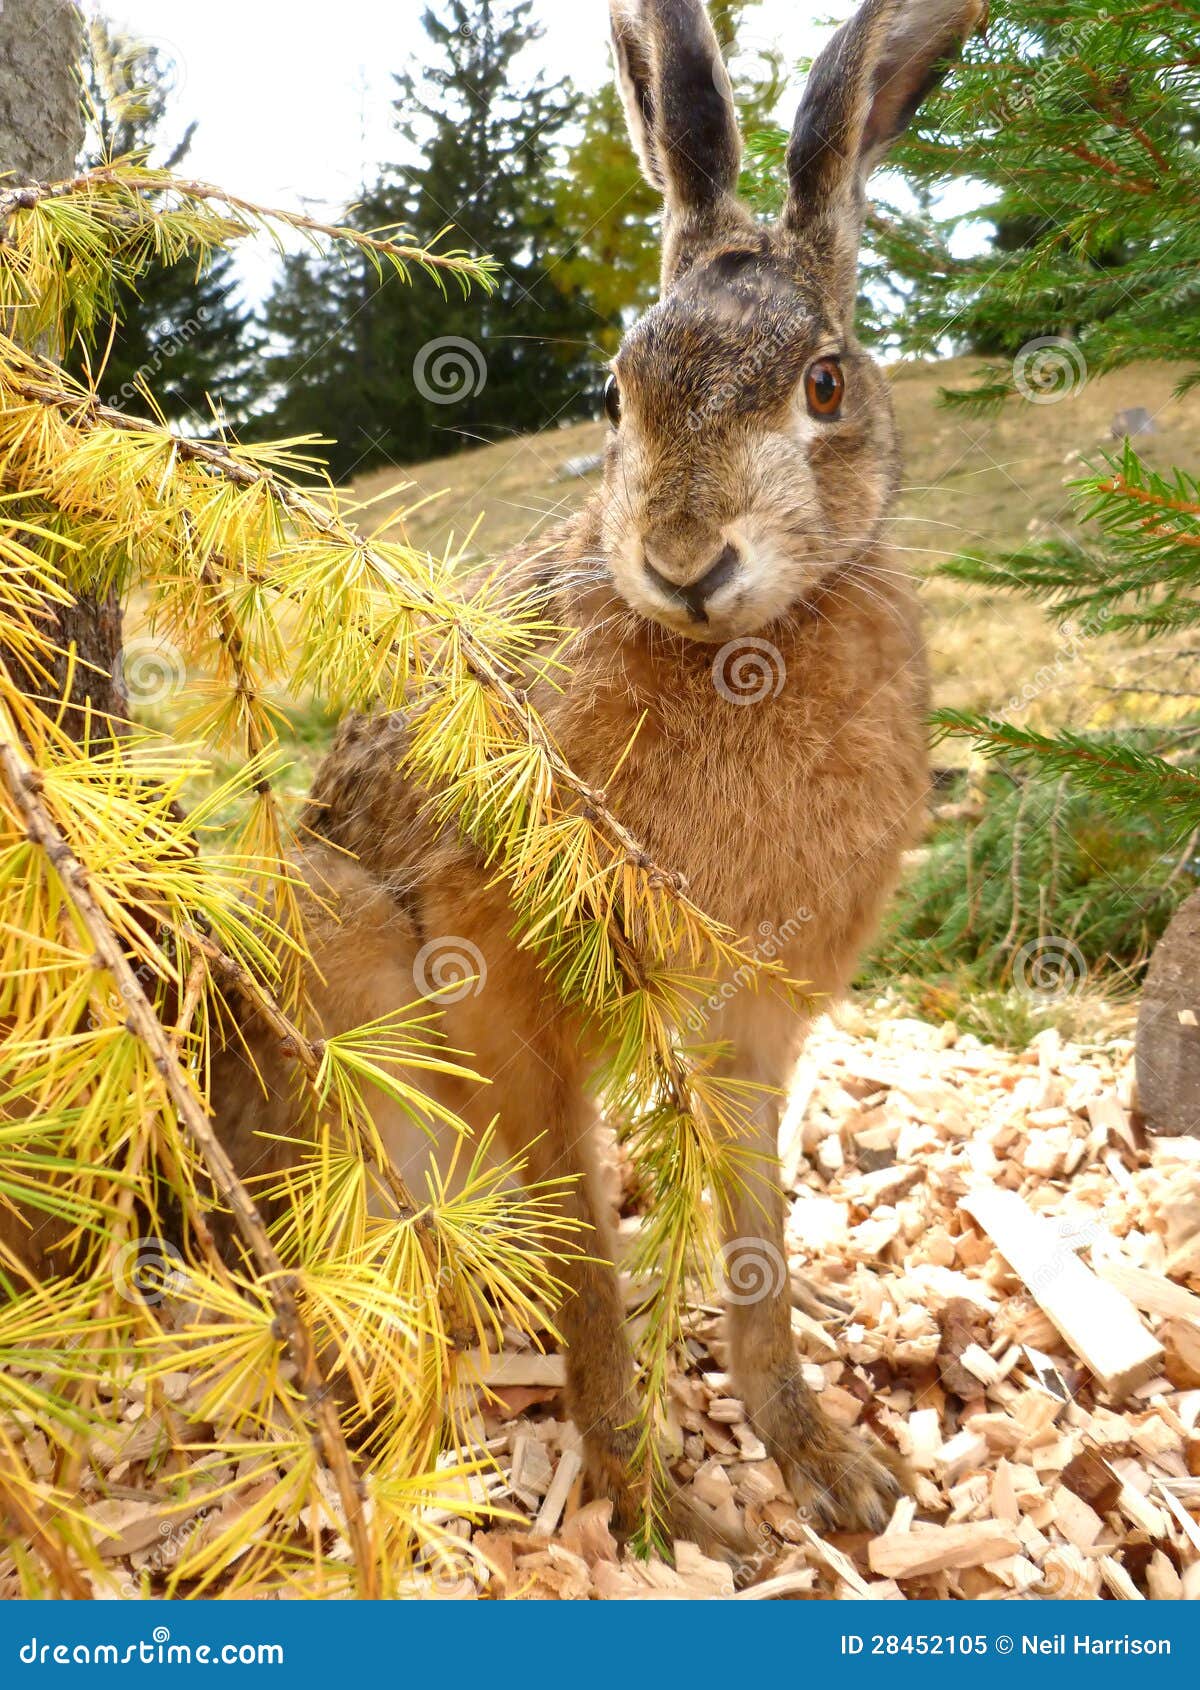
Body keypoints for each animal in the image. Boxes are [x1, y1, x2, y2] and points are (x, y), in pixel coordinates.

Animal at [213, 0, 984, 1538]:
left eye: (825, 385)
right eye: (616, 394)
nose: (686, 558)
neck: (735, 654)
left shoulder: (756, 1030)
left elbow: (755, 1247)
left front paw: (831, 1472)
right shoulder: (511, 992)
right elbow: (588, 1259)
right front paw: (649, 1506)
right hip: (339, 970)